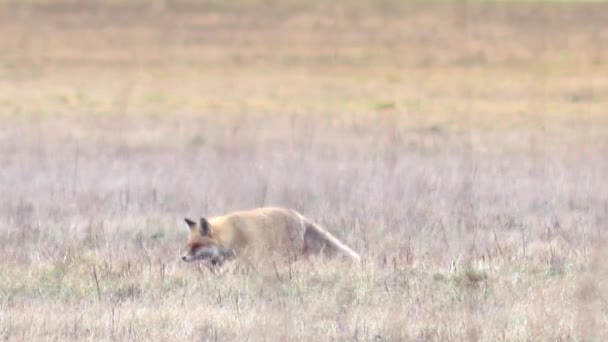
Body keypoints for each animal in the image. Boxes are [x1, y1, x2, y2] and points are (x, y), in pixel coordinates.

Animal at [180, 207, 360, 266]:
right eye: (188, 245)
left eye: (196, 245)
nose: (182, 257)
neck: (230, 234)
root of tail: (298, 215)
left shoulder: (246, 257)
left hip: (285, 254)